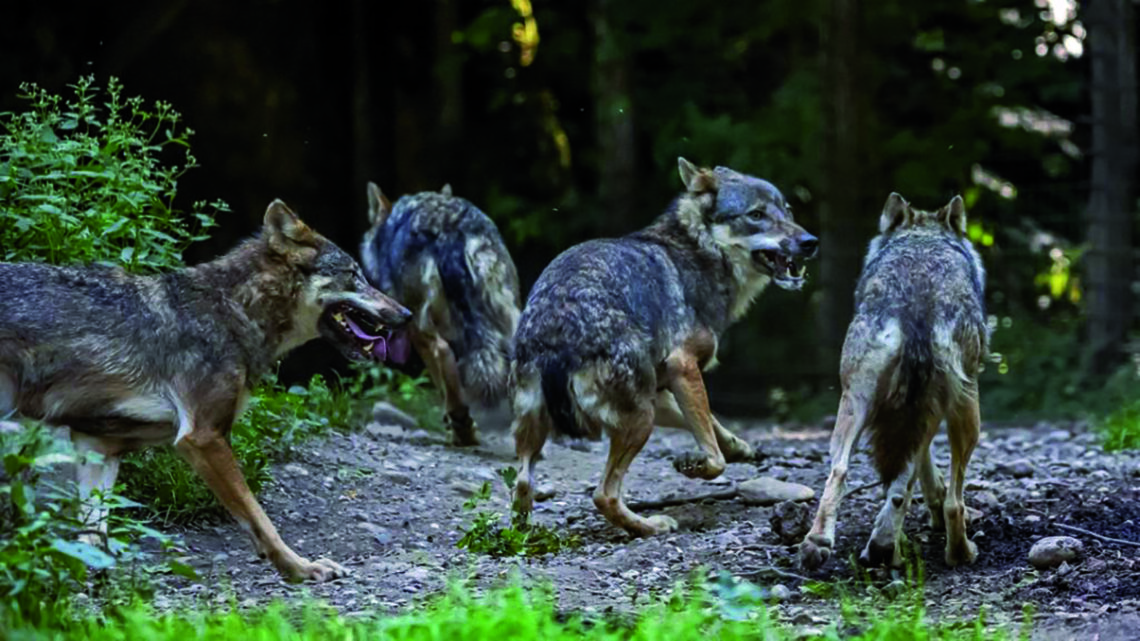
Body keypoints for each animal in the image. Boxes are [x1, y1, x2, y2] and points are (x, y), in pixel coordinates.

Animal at [0, 200, 412, 582]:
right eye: (354, 275)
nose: (407, 314)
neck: (232, 313)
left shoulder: (98, 444)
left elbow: (92, 536)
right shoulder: (203, 437)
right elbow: (259, 519)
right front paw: (301, 568)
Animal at [360, 183, 521, 446]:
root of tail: (451, 229)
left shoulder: (414, 330)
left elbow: (439, 377)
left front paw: (451, 420)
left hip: (423, 323)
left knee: (444, 354)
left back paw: (462, 428)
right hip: (512, 315)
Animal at [510, 158, 818, 536]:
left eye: (787, 210)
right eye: (757, 215)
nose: (810, 242)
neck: (700, 251)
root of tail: (555, 338)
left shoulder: (661, 389)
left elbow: (712, 424)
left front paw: (739, 448)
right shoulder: (682, 366)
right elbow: (714, 456)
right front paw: (697, 464)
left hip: (543, 429)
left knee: (523, 486)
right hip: (641, 421)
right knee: (604, 495)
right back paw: (652, 526)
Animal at [799, 193, 987, 570]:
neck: (923, 237)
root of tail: (916, 303)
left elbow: (917, 471)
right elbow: (925, 478)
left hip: (853, 404)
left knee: (841, 468)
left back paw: (823, 543)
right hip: (968, 411)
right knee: (949, 500)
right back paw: (956, 552)